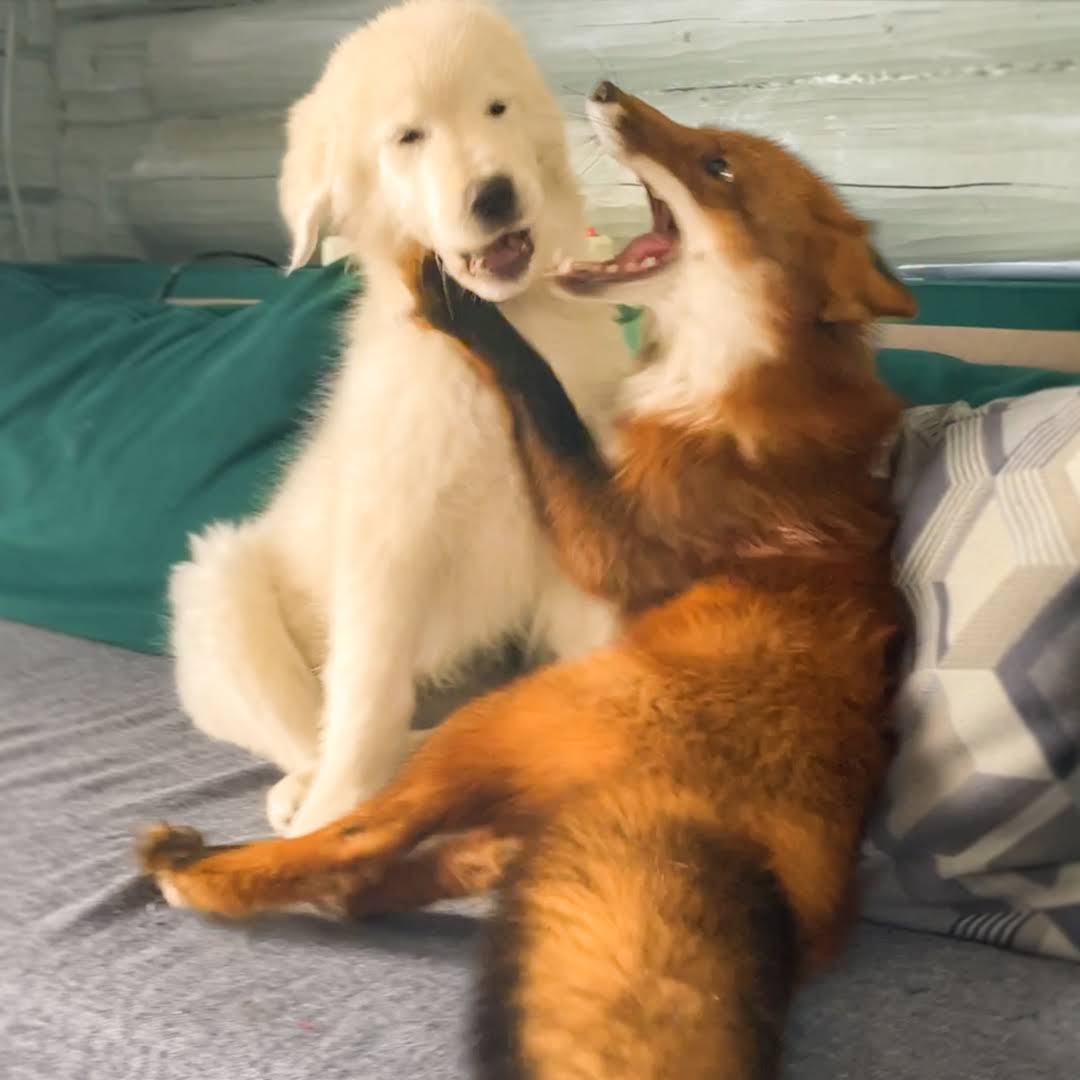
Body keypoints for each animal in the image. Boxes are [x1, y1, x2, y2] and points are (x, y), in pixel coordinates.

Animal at [138, 82, 917, 1080]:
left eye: (717, 166)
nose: (609, 90)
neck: (750, 383)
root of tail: (738, 830)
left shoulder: (611, 539)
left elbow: (538, 391)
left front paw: (465, 310)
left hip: (484, 727)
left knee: (352, 840)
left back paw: (195, 870)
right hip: (509, 813)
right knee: (371, 880)